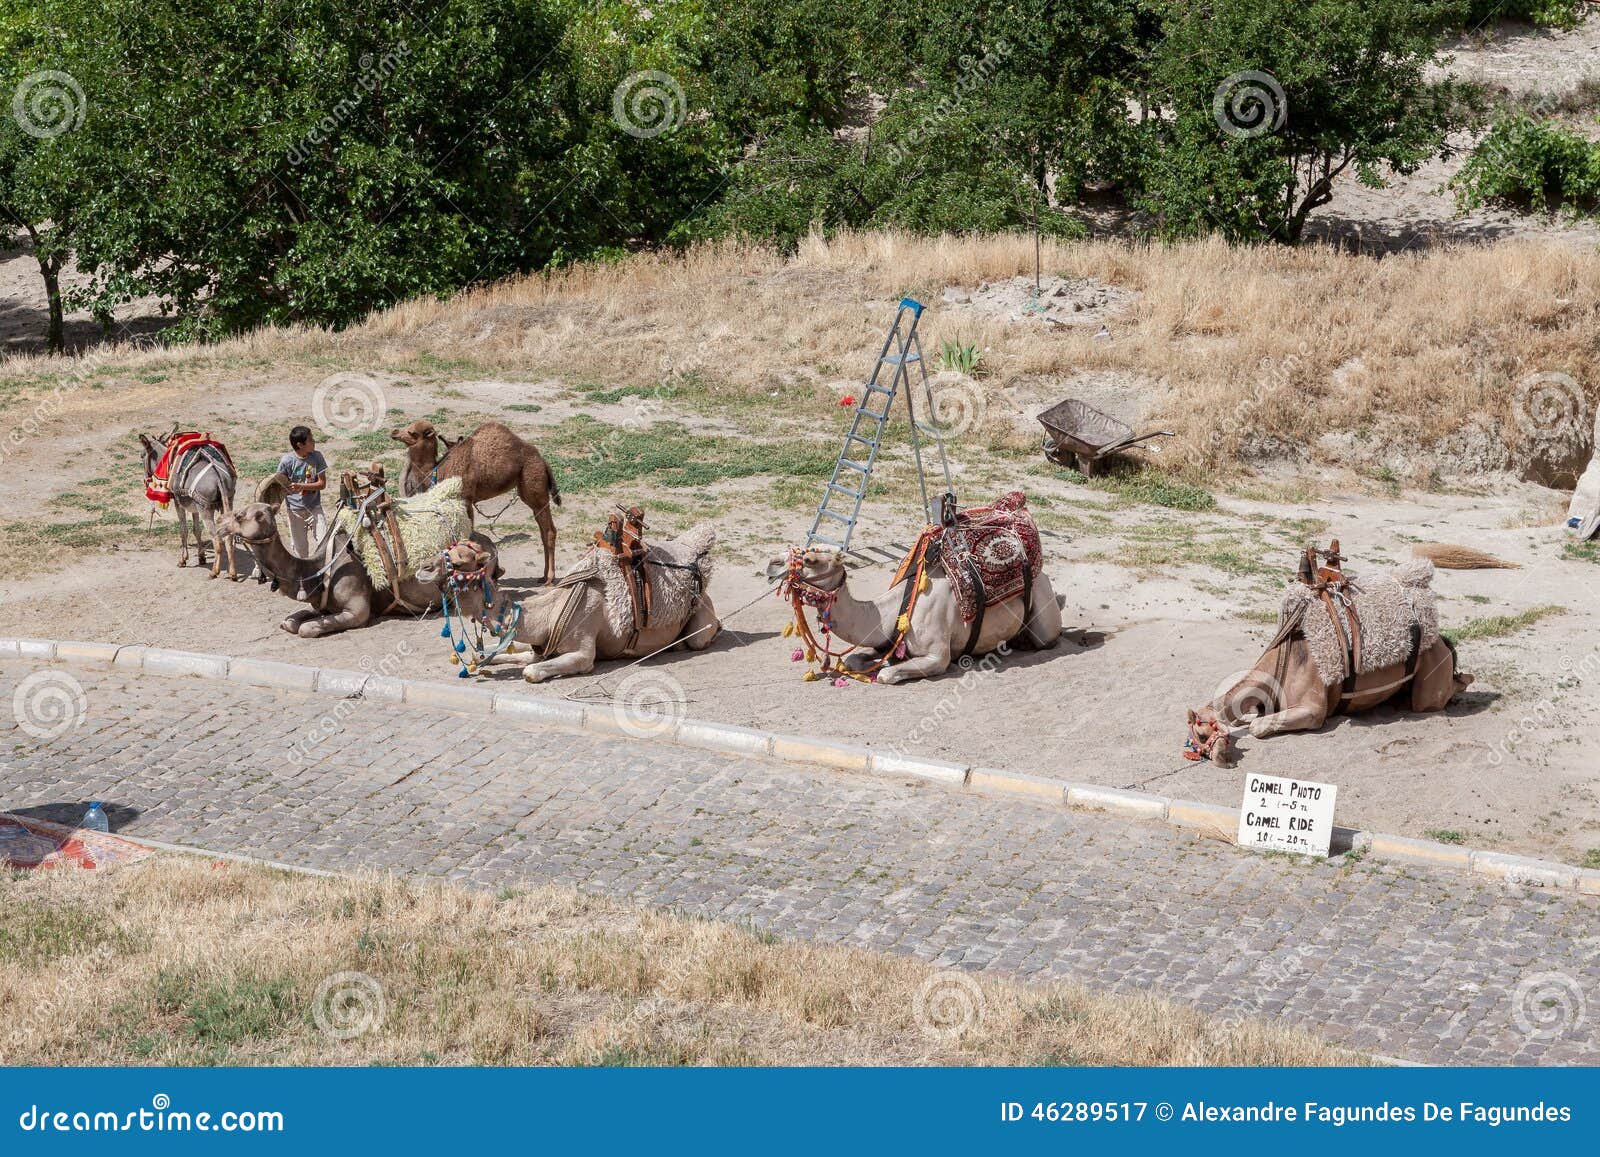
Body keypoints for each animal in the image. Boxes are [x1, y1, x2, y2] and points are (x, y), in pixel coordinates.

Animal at [138, 432, 240, 579]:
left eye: (141, 456)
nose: (145, 480)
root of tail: (219, 476)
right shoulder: (195, 508)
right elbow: (196, 530)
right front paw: (201, 556)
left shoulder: (179, 504)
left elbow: (184, 530)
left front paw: (183, 560)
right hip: (227, 504)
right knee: (228, 537)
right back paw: (232, 573)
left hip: (206, 510)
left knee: (217, 539)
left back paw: (214, 572)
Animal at [216, 483, 496, 638]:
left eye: (241, 516)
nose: (219, 525)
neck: (318, 569)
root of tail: (488, 544)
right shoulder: (322, 604)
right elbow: (290, 622)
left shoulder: (358, 610)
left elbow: (306, 629)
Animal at [391, 420, 560, 584]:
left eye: (413, 432)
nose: (394, 432)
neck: (437, 473)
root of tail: (543, 462)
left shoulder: (466, 498)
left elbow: (469, 532)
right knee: (543, 530)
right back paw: (543, 576)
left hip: (534, 484)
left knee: (549, 530)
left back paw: (550, 578)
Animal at [439, 524, 720, 682]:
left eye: (458, 560)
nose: (427, 572)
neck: (552, 610)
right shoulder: (540, 644)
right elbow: (512, 654)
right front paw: (483, 658)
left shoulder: (584, 649)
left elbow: (531, 671)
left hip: (701, 620)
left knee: (702, 636)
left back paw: (680, 644)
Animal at [765, 547, 1062, 684]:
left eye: (811, 560)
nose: (772, 563)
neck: (896, 610)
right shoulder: (885, 640)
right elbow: (853, 659)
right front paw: (882, 661)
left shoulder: (937, 655)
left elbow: (887, 675)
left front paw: (887, 667)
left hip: (1044, 614)